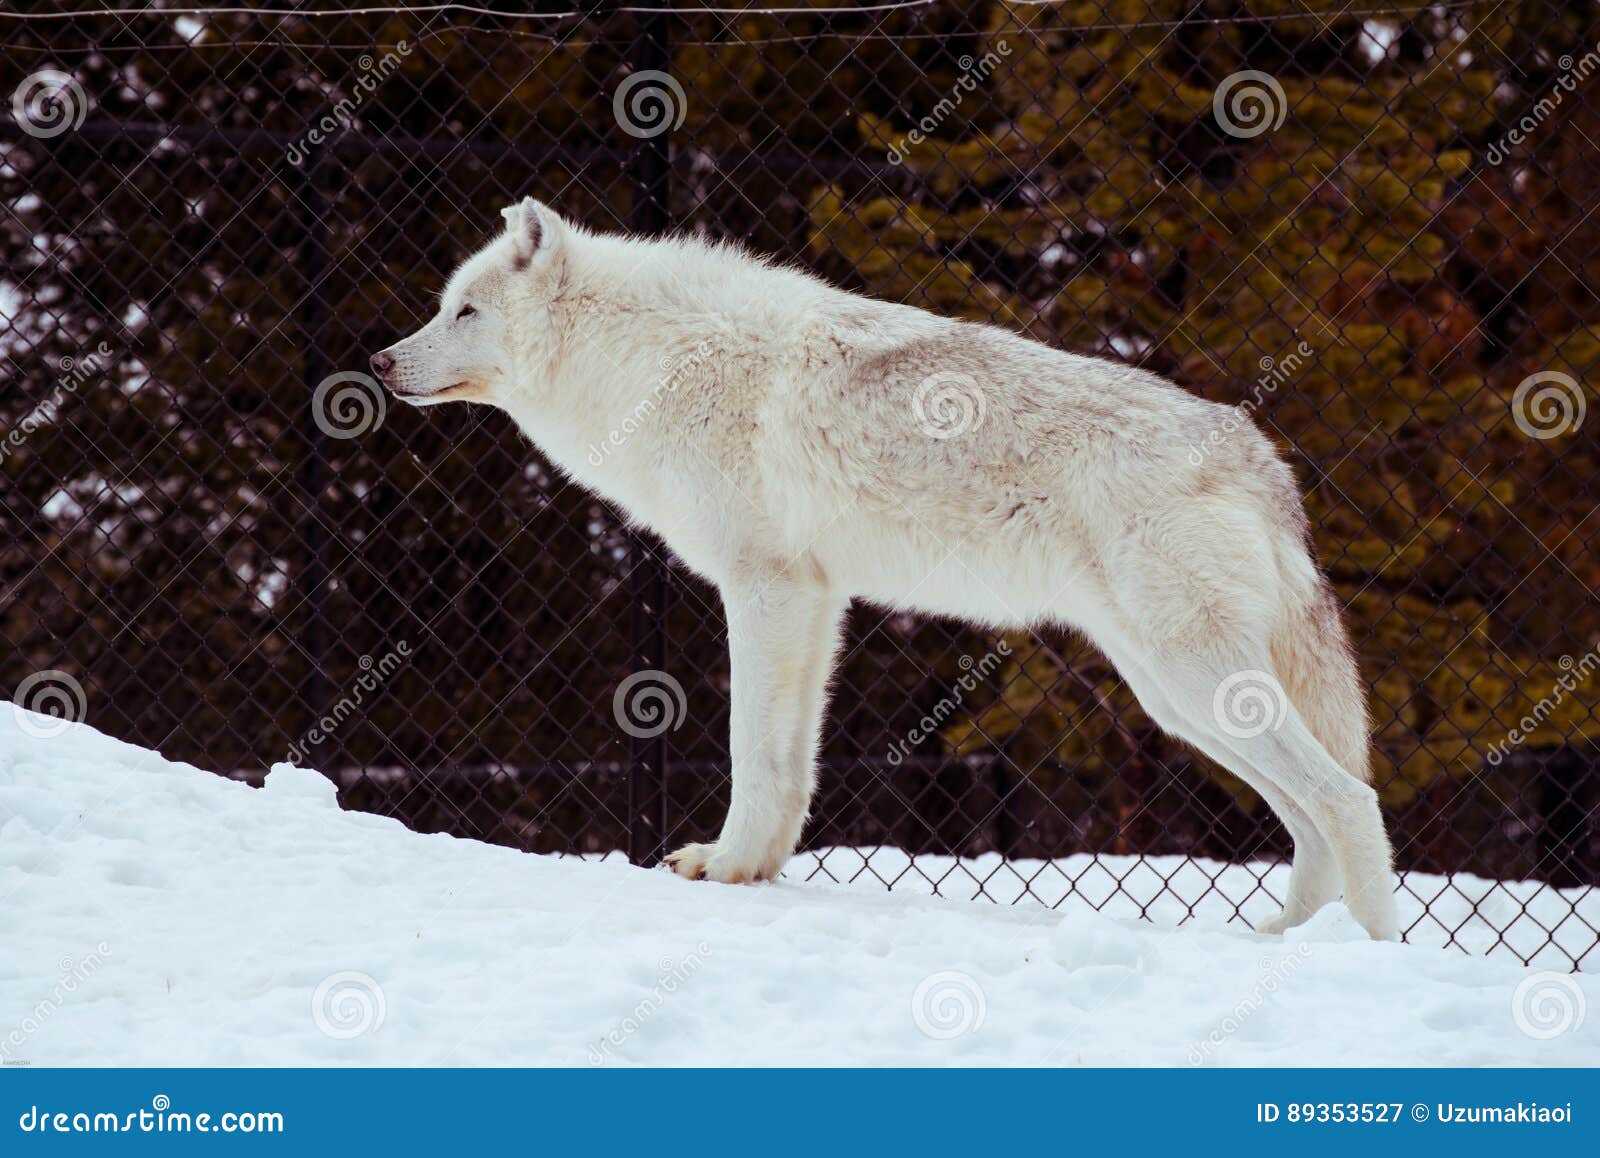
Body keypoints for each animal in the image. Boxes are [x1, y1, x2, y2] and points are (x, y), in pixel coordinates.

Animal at [369, 198, 1400, 940]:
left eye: (464, 311)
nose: (378, 362)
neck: (652, 361)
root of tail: (1261, 456)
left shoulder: (765, 587)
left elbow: (749, 750)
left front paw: (723, 865)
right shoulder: (817, 599)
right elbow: (792, 766)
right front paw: (754, 871)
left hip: (1196, 684)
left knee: (1349, 801)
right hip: (1177, 700)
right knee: (1309, 821)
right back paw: (1279, 944)